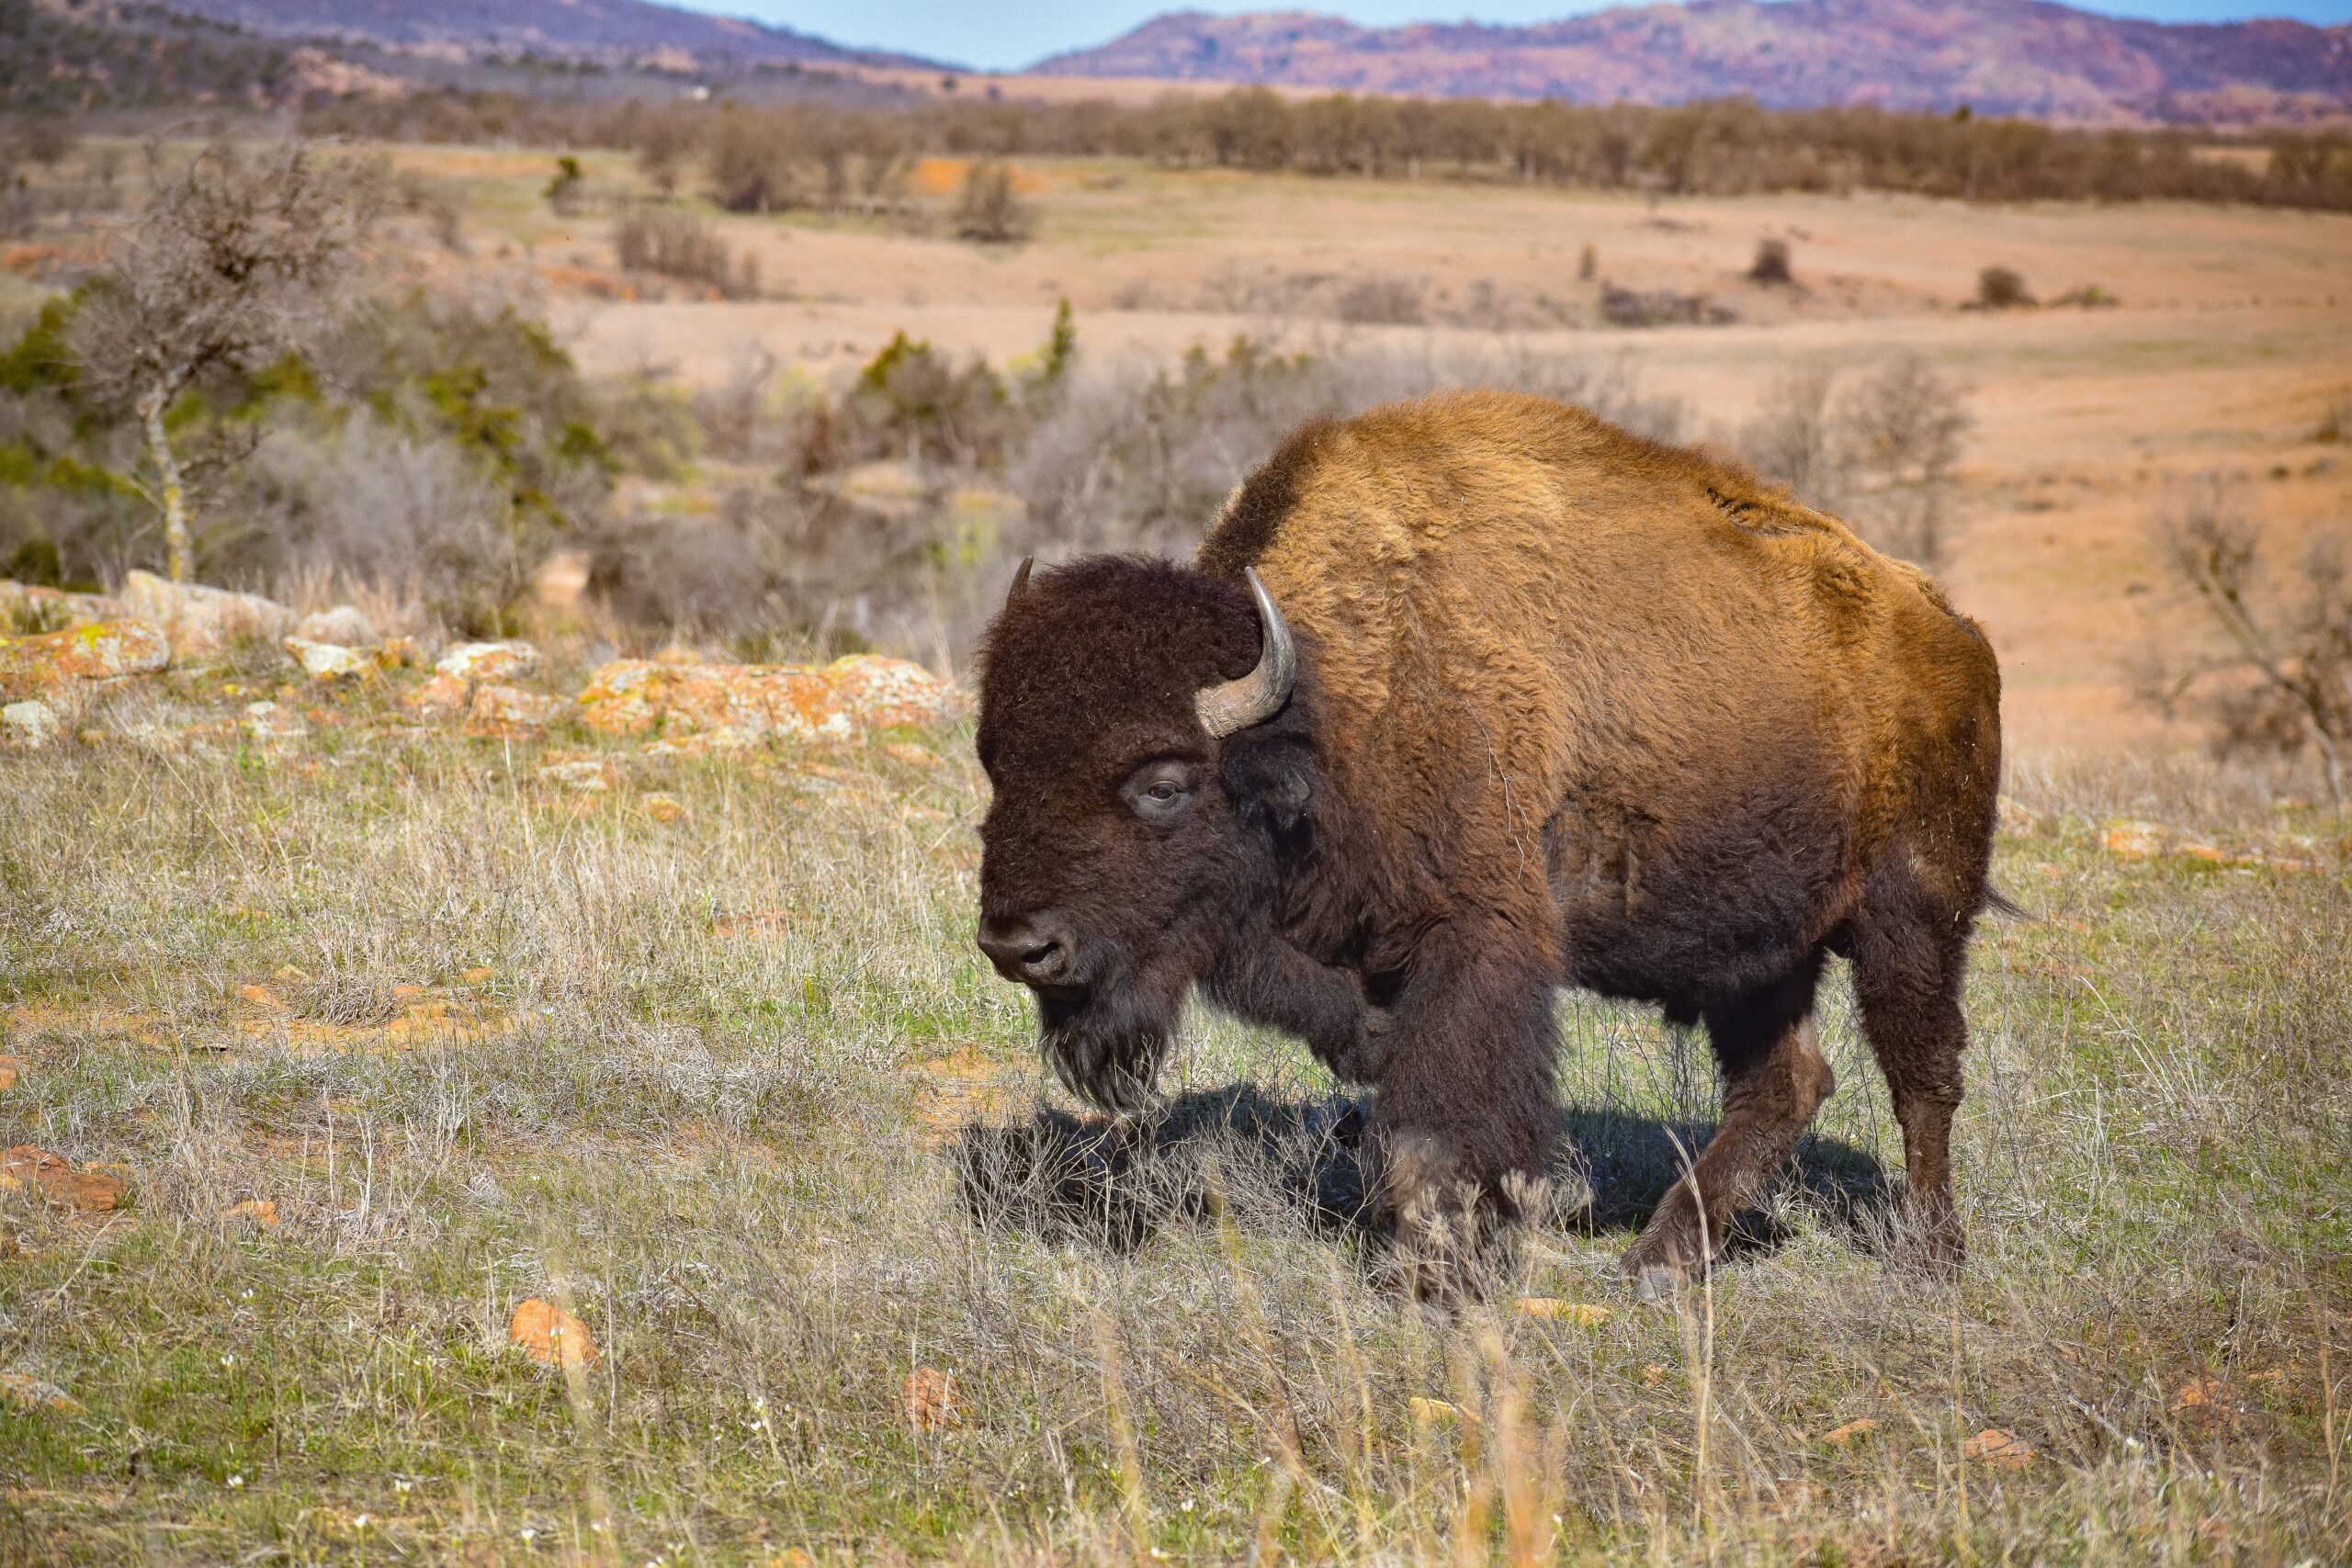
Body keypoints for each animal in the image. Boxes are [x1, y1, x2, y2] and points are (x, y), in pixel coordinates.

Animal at [974, 390, 2002, 1294]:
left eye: (1162, 781)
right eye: (996, 762)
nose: (1018, 945)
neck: (1330, 702)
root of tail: (1950, 630)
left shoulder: (1474, 939)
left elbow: (1437, 1123)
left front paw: (1435, 1271)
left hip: (1913, 913)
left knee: (1922, 1076)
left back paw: (1930, 1258)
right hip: (1758, 952)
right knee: (1784, 1084)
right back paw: (1658, 1263)